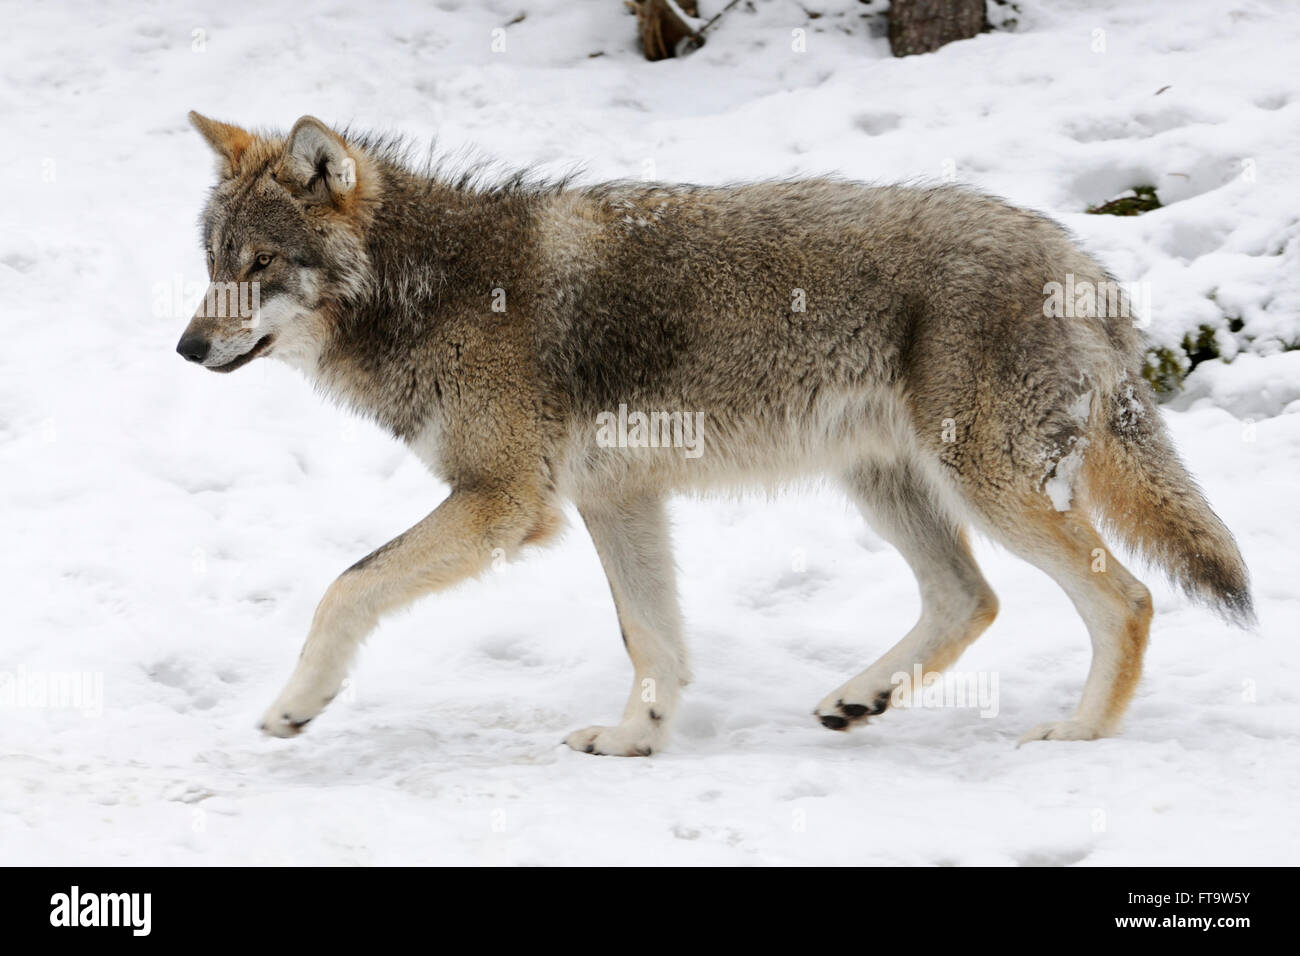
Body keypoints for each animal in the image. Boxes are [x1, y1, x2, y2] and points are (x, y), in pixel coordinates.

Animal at [176, 112, 1253, 756]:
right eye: (213, 263)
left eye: (261, 264)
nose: (186, 346)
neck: (432, 286)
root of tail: (1082, 256)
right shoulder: (616, 499)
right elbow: (652, 638)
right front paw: (634, 742)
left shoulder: (504, 504)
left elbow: (344, 586)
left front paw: (296, 704)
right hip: (888, 484)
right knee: (971, 600)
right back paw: (857, 700)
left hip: (989, 486)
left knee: (1127, 598)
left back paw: (1080, 733)